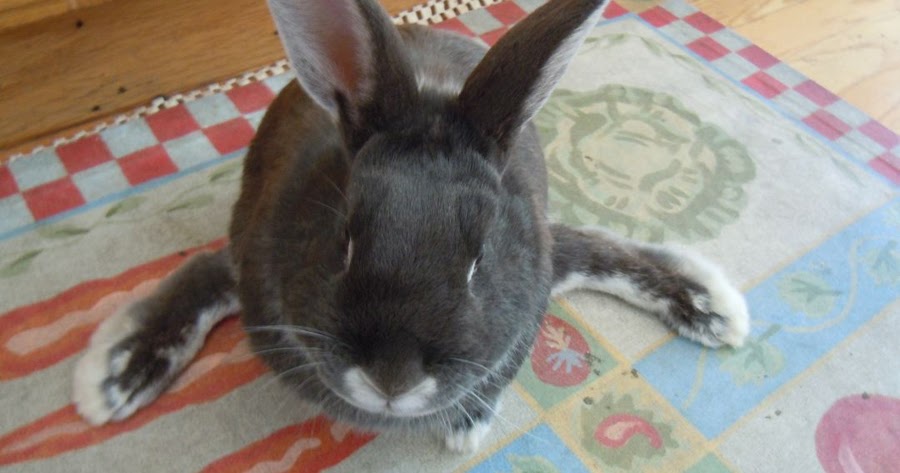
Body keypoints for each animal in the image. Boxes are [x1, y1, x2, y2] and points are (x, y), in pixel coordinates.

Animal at [73, 0, 749, 453]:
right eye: (343, 241)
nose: (392, 377)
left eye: (479, 262)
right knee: (209, 267)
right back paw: (118, 373)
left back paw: (710, 306)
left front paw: (468, 427)